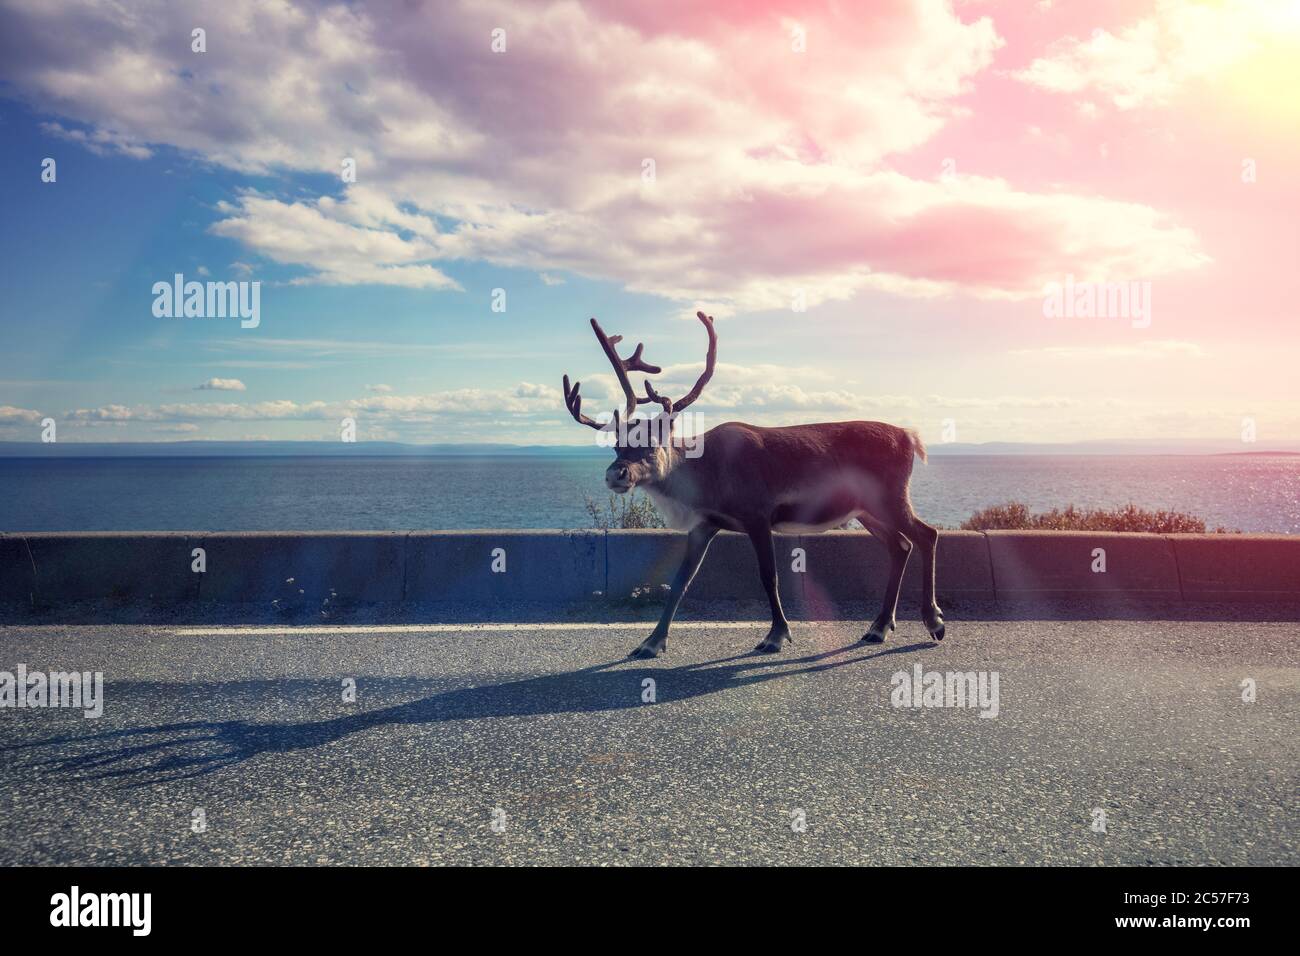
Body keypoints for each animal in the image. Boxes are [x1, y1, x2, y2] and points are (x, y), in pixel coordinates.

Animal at [563, 311, 944, 659]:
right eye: (616, 445)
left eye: (651, 444)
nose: (616, 474)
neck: (705, 476)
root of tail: (910, 436)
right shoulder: (704, 525)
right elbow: (681, 581)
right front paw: (652, 642)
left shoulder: (758, 514)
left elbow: (768, 576)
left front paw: (776, 635)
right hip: (866, 510)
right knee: (901, 546)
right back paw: (879, 627)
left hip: (890, 498)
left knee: (927, 534)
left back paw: (933, 622)